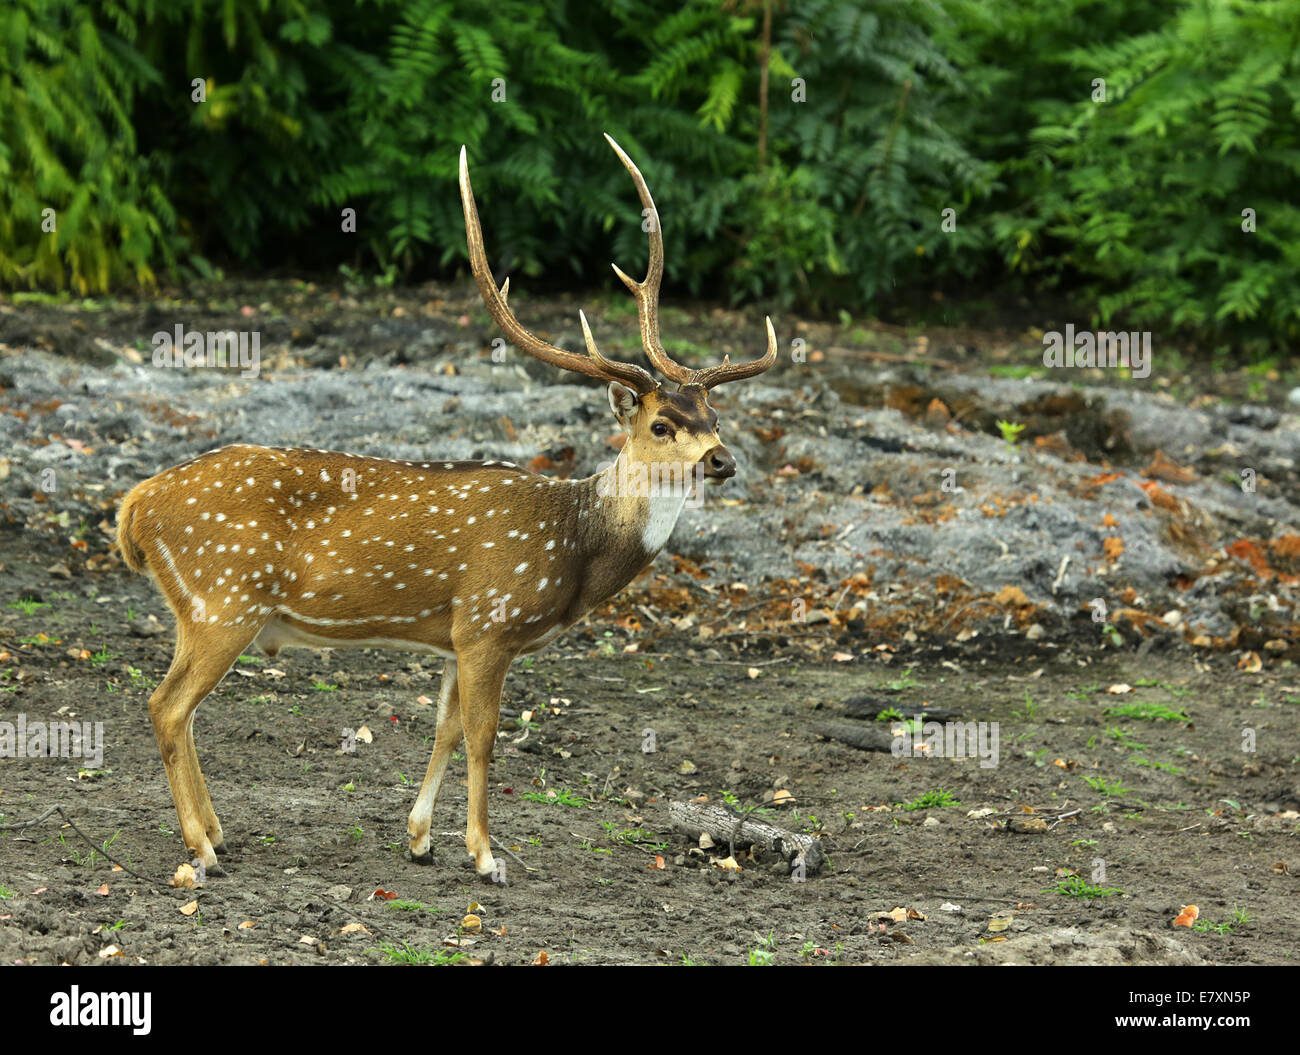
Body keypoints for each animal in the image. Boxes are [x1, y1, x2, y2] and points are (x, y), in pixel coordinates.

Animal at [116, 134, 777, 877]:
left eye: (714, 415)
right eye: (662, 424)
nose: (722, 459)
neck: (572, 552)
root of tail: (134, 507)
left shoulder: (456, 636)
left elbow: (446, 728)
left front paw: (420, 837)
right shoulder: (490, 621)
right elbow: (485, 737)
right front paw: (487, 855)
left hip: (197, 606)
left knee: (177, 706)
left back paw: (217, 831)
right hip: (225, 595)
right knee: (167, 705)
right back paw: (201, 847)